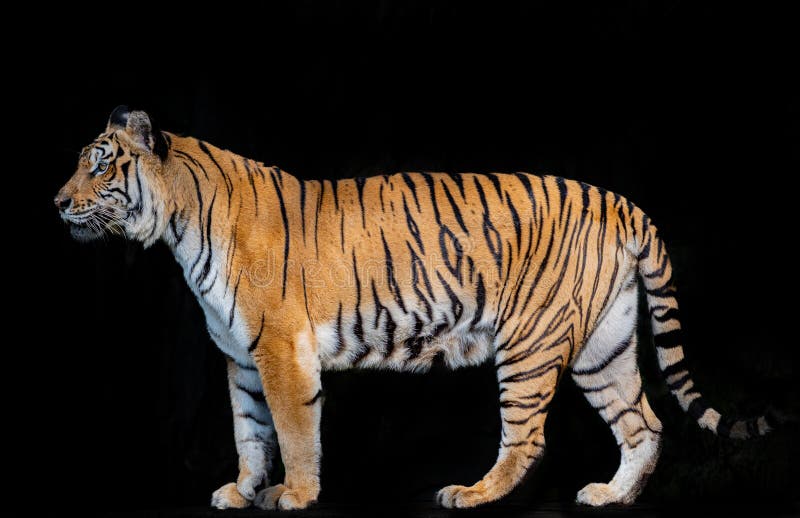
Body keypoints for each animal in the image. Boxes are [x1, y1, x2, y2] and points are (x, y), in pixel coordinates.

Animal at [55, 106, 776, 510]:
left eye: (100, 166)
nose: (58, 202)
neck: (178, 227)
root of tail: (622, 201)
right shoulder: (240, 357)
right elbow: (250, 433)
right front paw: (242, 491)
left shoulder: (280, 349)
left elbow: (292, 432)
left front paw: (296, 496)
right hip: (605, 345)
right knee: (643, 423)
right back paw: (611, 498)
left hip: (531, 344)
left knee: (529, 436)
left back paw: (470, 495)